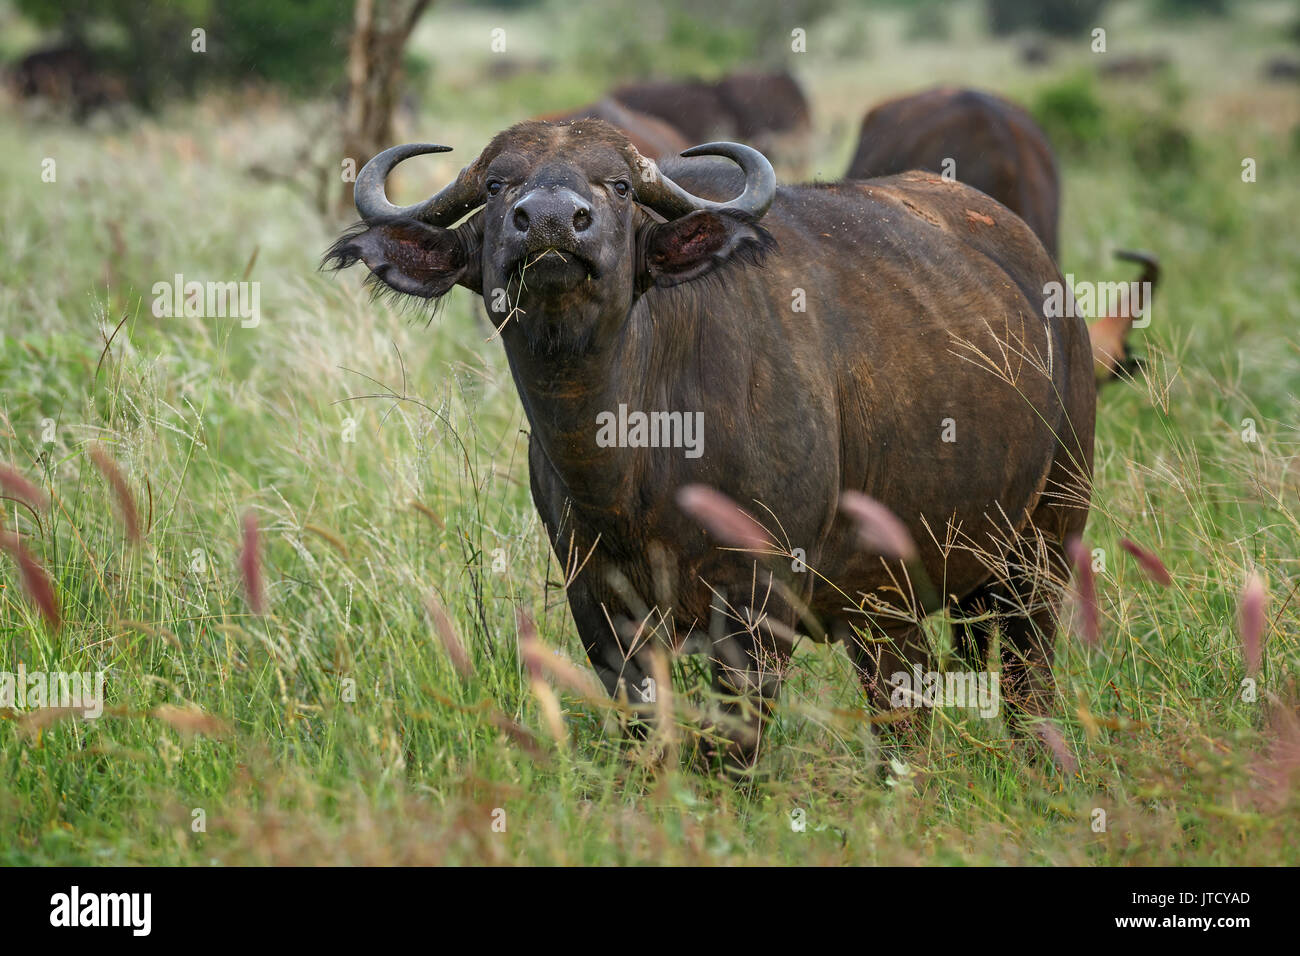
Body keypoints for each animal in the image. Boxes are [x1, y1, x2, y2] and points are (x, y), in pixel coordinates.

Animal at [325, 120, 1095, 771]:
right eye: (495, 185)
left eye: (620, 185)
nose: (549, 221)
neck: (628, 461)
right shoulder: (599, 603)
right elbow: (645, 727)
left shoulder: (758, 604)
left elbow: (733, 743)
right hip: (894, 597)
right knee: (908, 698)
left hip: (1045, 544)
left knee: (1026, 674)